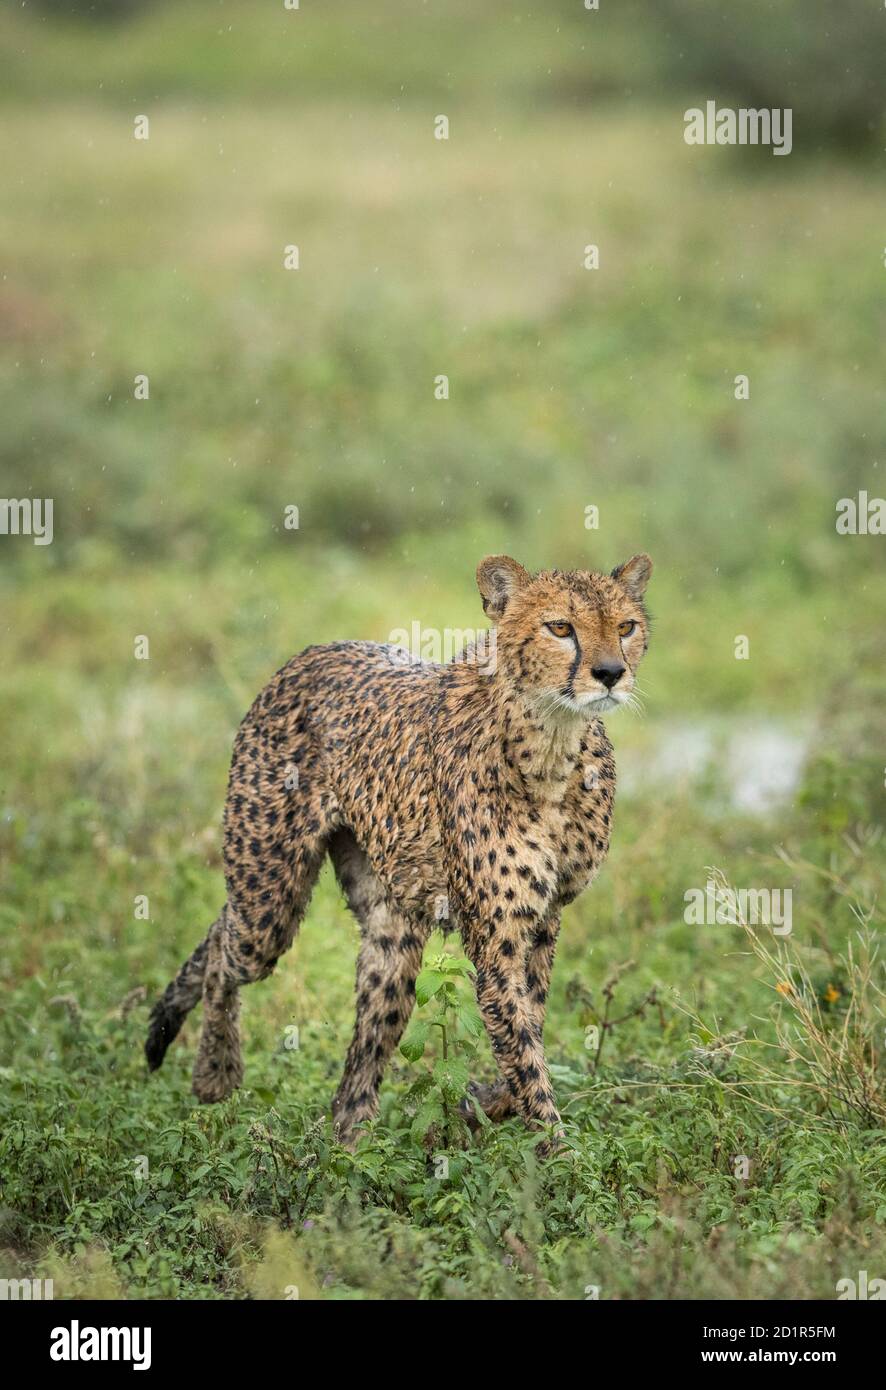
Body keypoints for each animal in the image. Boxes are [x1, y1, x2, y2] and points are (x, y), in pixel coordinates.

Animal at [145, 551, 653, 1149]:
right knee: (227, 945)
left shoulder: (545, 916)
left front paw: (477, 1105)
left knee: (363, 1046)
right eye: (560, 628)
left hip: (393, 928)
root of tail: (315, 650)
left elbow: (526, 1028)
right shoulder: (495, 933)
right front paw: (562, 1157)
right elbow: (523, 1052)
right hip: (268, 900)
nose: (610, 673)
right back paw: (215, 1074)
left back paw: (350, 1143)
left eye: (626, 627)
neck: (552, 739)